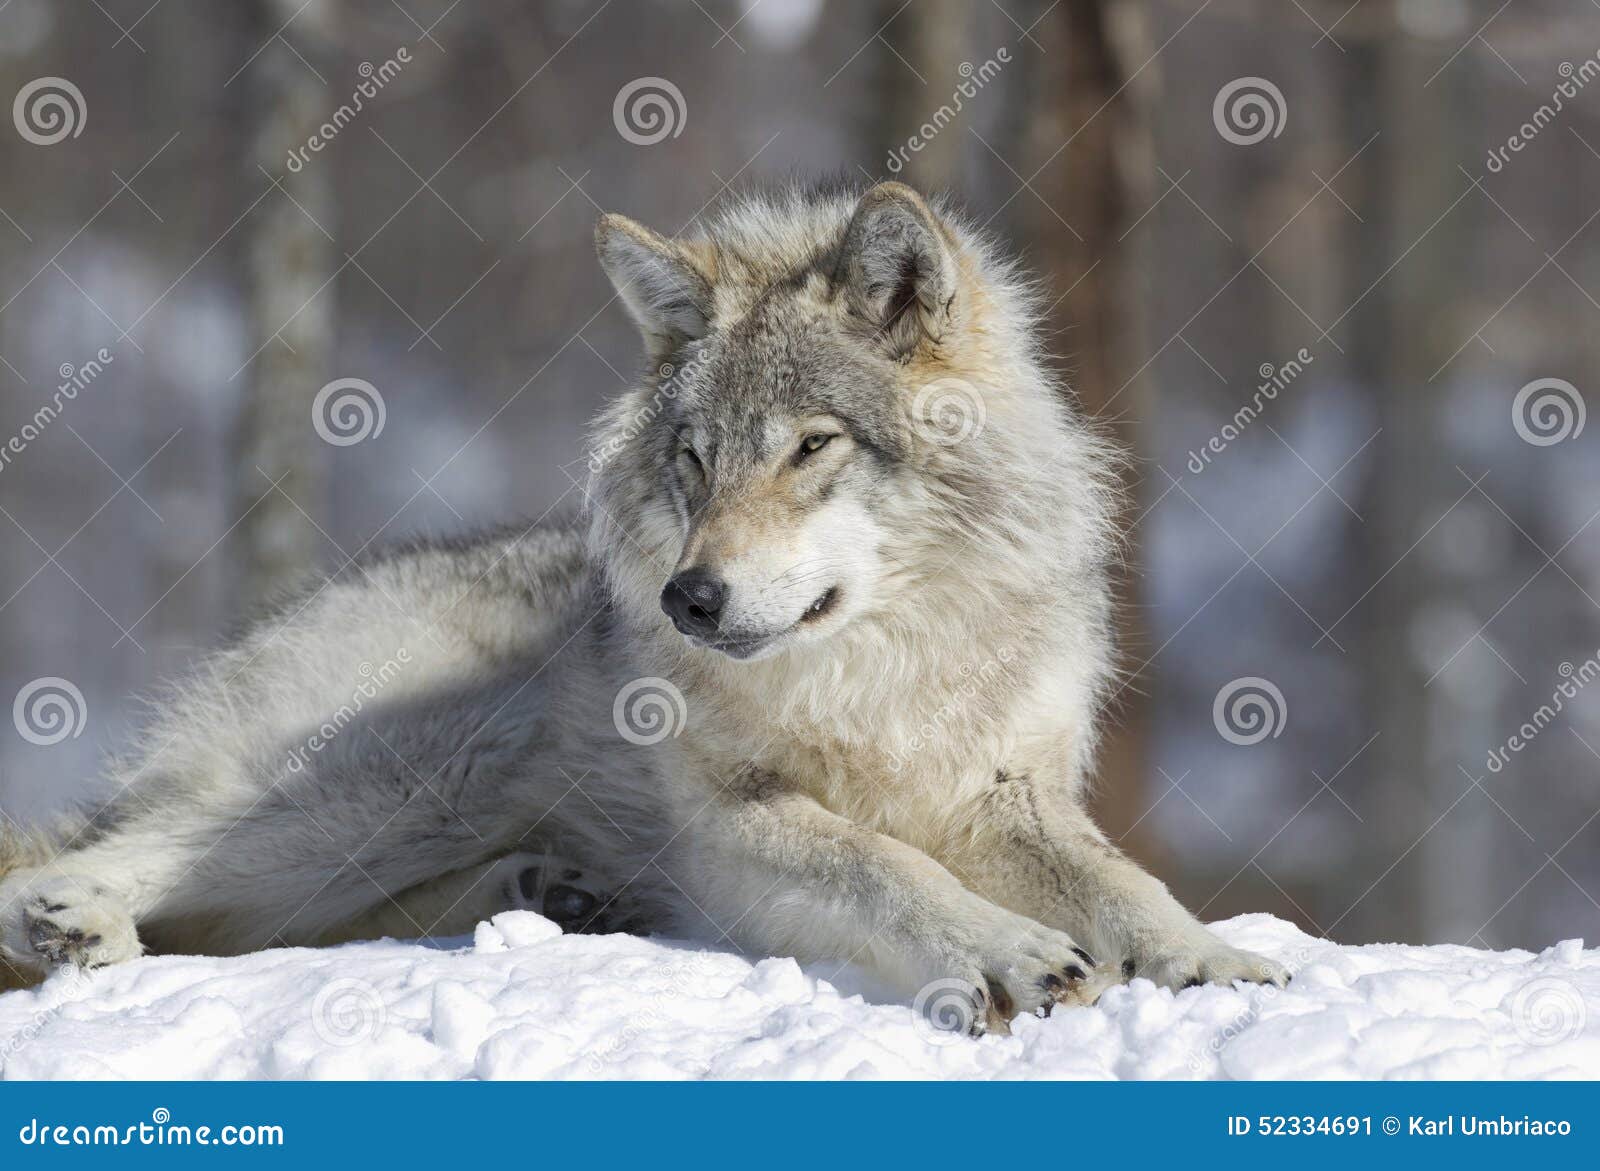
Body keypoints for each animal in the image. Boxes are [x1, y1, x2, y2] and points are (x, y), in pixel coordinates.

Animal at [0, 181, 1285, 1031]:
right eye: (694, 460)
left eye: (811, 446)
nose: (687, 598)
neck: (875, 671)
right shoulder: (732, 826)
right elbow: (882, 864)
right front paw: (1007, 949)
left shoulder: (1003, 791)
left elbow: (1121, 881)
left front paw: (1211, 962)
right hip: (425, 770)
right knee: (116, 858)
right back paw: (74, 919)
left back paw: (550, 891)